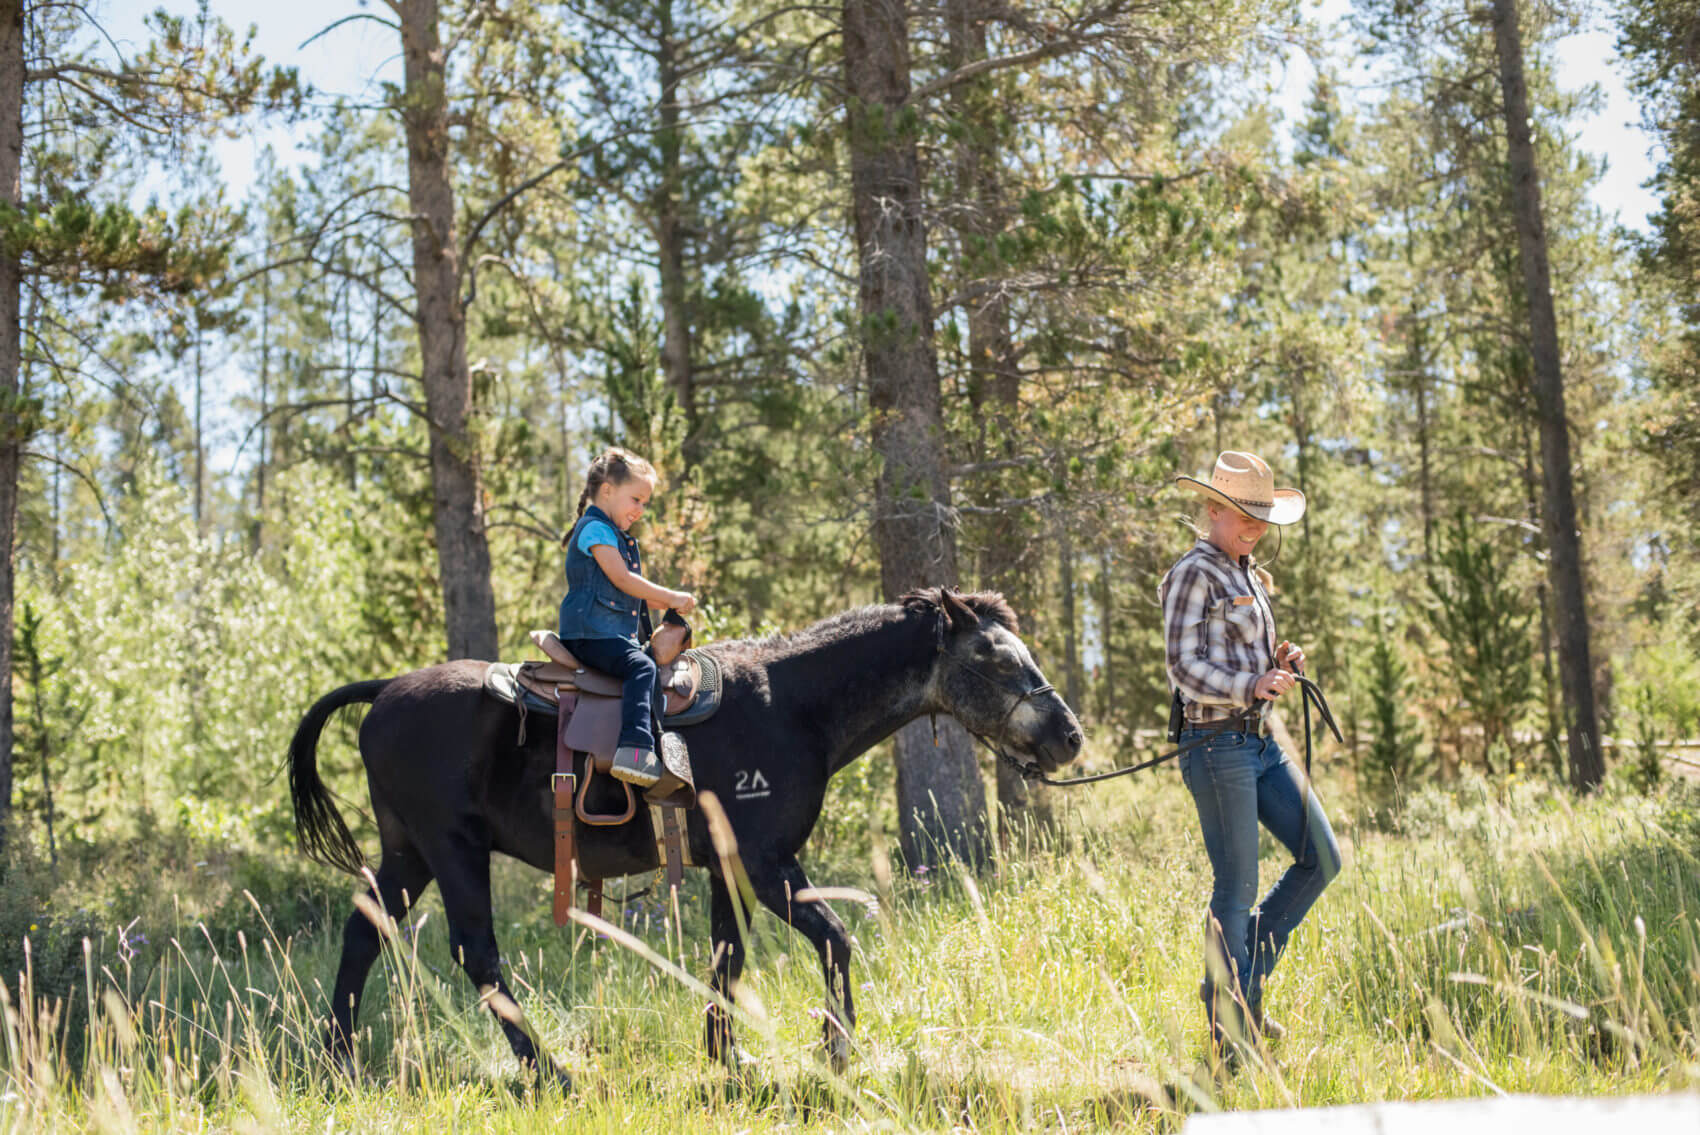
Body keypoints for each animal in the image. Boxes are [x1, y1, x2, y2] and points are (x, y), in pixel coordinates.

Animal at [286, 588, 1083, 1084]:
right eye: (995, 658)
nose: (1069, 737)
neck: (791, 707)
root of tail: (386, 690)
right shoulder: (767, 861)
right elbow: (833, 938)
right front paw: (835, 1049)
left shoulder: (730, 868)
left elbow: (727, 959)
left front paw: (727, 1059)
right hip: (452, 847)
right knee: (474, 954)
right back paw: (550, 1072)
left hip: (409, 851)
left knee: (364, 931)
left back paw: (336, 1060)